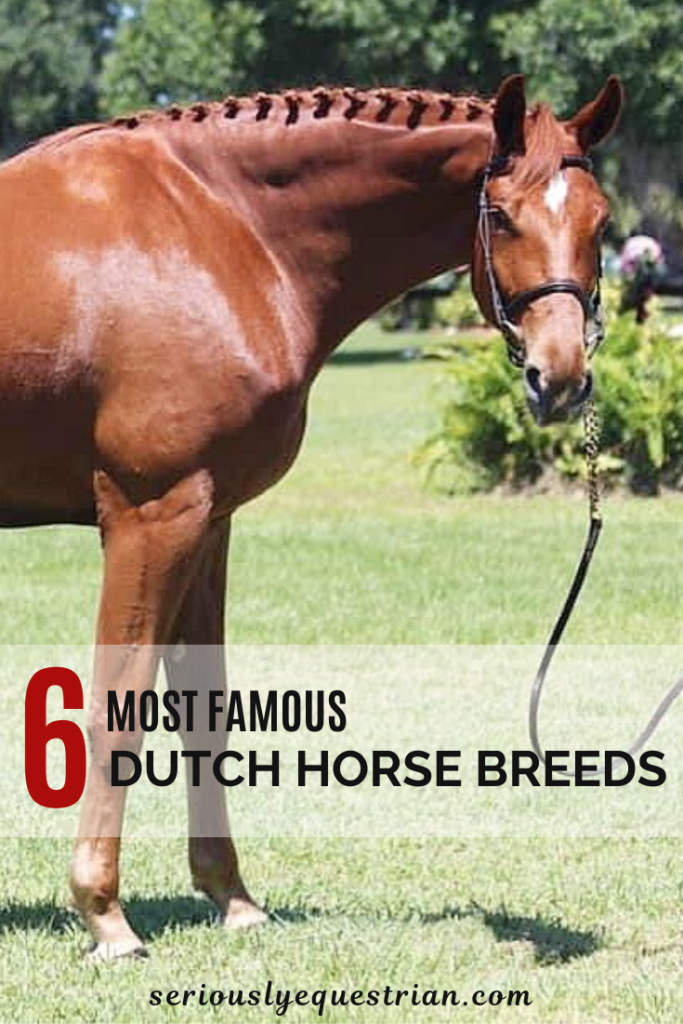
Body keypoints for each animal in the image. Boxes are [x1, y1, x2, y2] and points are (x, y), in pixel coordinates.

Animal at [1, 73, 622, 958]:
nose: (558, 374)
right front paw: (105, 915)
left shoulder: (207, 518)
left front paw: (231, 898)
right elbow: (118, 705)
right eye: (500, 215)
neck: (218, 230)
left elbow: (205, 703)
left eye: (599, 221)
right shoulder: (150, 515)